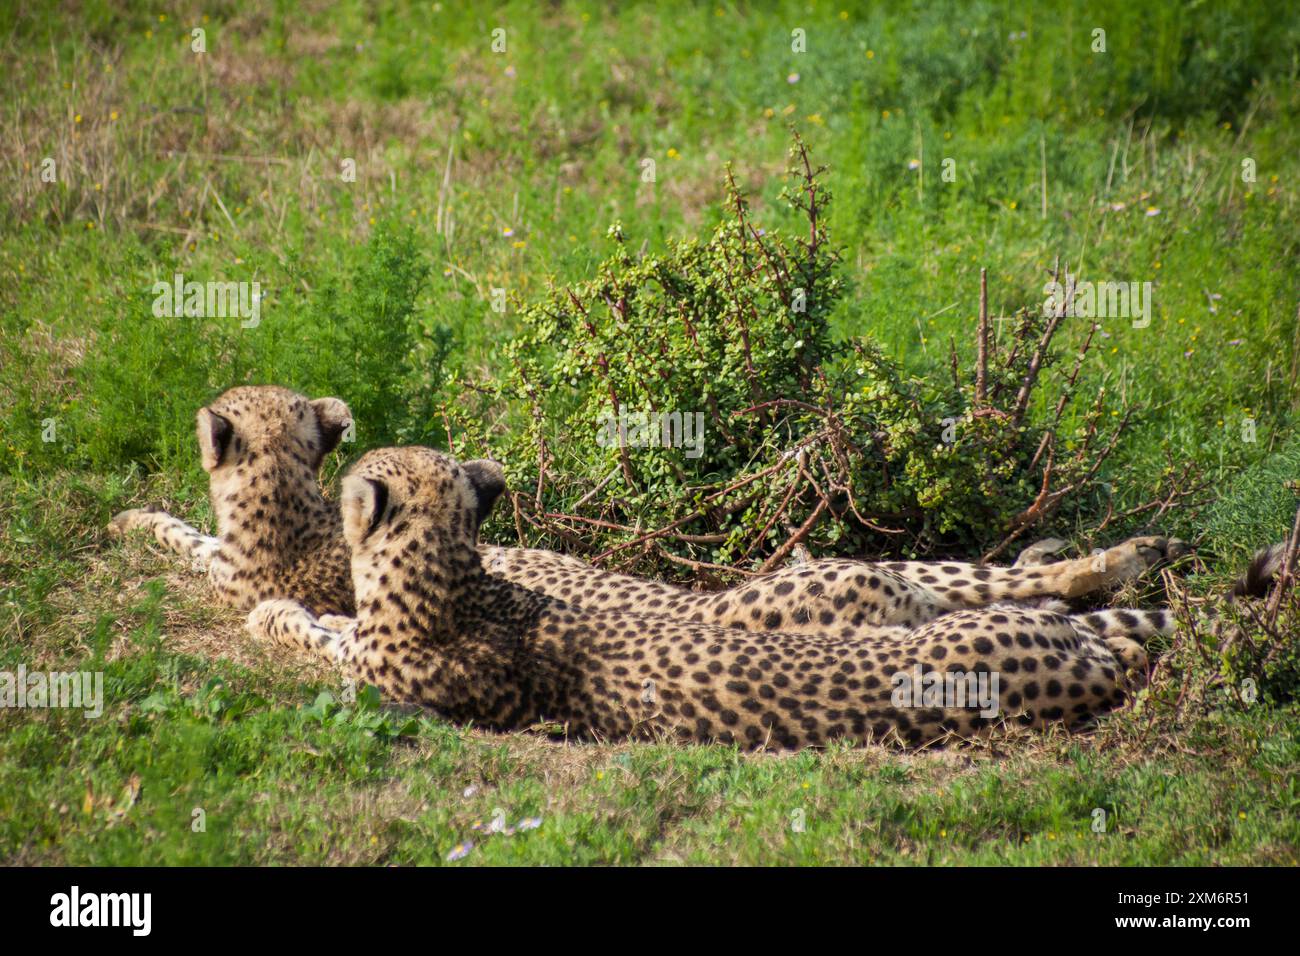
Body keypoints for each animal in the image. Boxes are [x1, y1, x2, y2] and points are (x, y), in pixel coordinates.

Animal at [245, 446, 1172, 750]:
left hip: (857, 585)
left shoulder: (379, 666)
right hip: (901, 589)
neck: (449, 580)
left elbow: (317, 633)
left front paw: (277, 614)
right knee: (1025, 592)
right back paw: (1117, 559)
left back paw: (1116, 560)